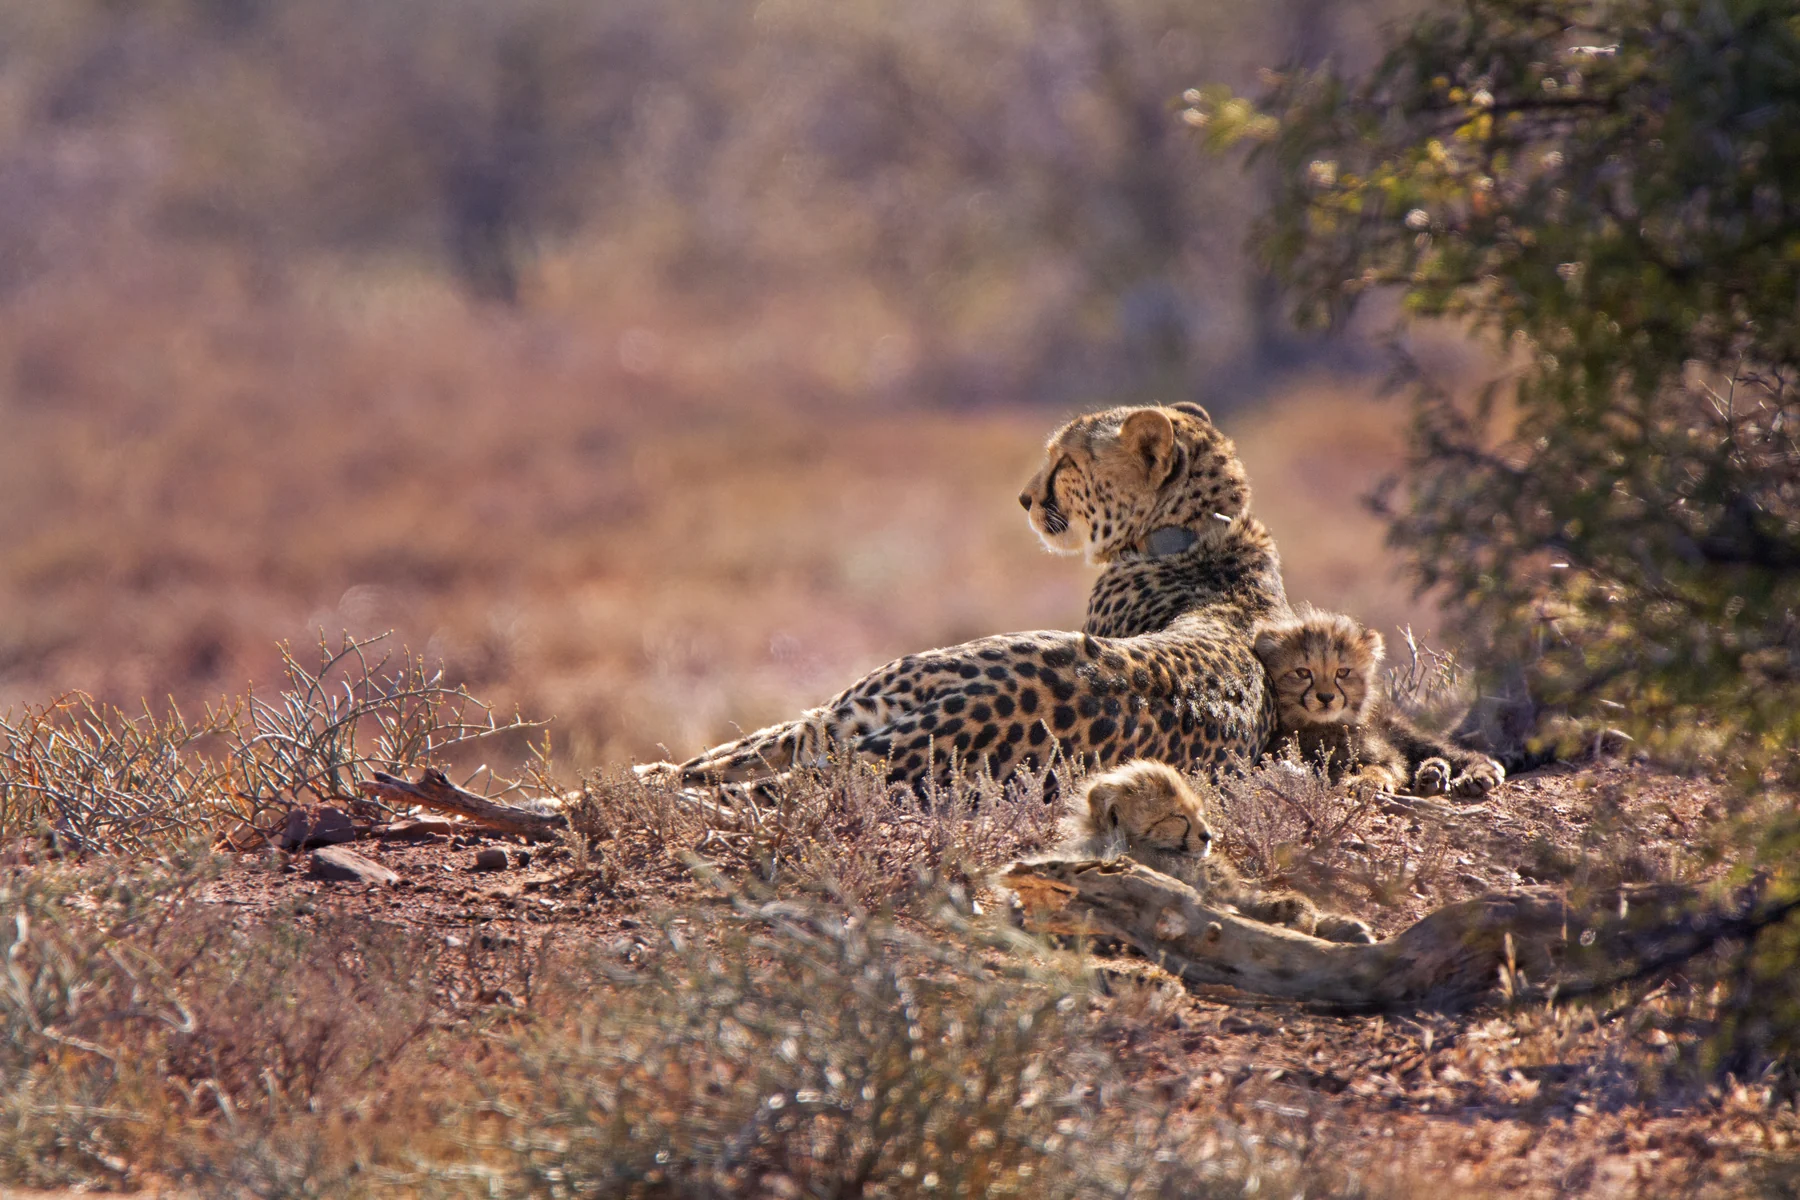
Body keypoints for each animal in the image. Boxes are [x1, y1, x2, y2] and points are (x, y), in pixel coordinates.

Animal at [635, 403, 1289, 793]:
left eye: (1066, 462)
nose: (1025, 499)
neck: (1197, 529)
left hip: (862, 711)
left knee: (730, 765)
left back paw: (637, 782)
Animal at [1252, 607, 1505, 799]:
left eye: (1342, 672)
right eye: (1303, 672)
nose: (1325, 697)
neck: (1324, 727)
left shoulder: (1386, 754)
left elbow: (1384, 766)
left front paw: (1365, 781)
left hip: (1403, 731)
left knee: (1456, 753)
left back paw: (1472, 775)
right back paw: (1431, 775)